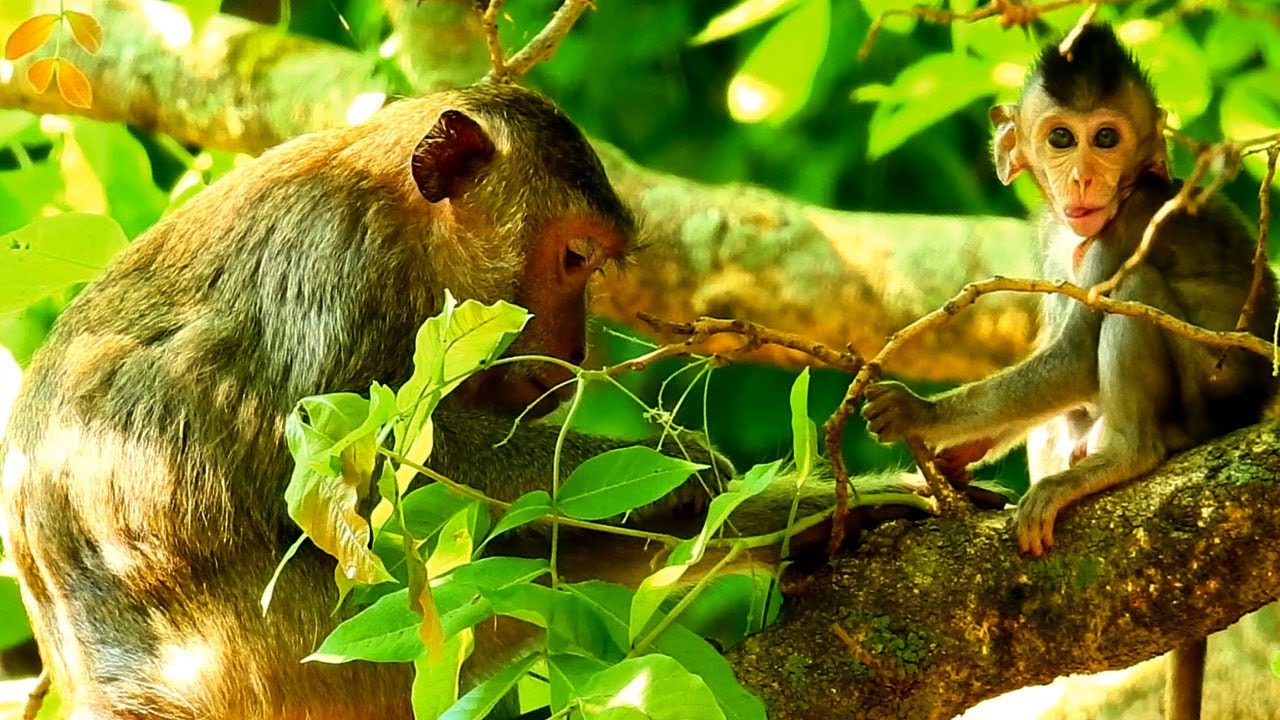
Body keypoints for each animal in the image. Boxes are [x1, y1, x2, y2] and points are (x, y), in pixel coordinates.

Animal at [860, 24, 1278, 720]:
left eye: (1106, 138)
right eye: (1061, 138)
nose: (1082, 176)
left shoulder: (1123, 229)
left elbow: (1077, 355)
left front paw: (922, 413)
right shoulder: (1057, 238)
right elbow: (1054, 355)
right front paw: (957, 458)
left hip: (1203, 401)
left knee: (1133, 296)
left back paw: (1125, 456)